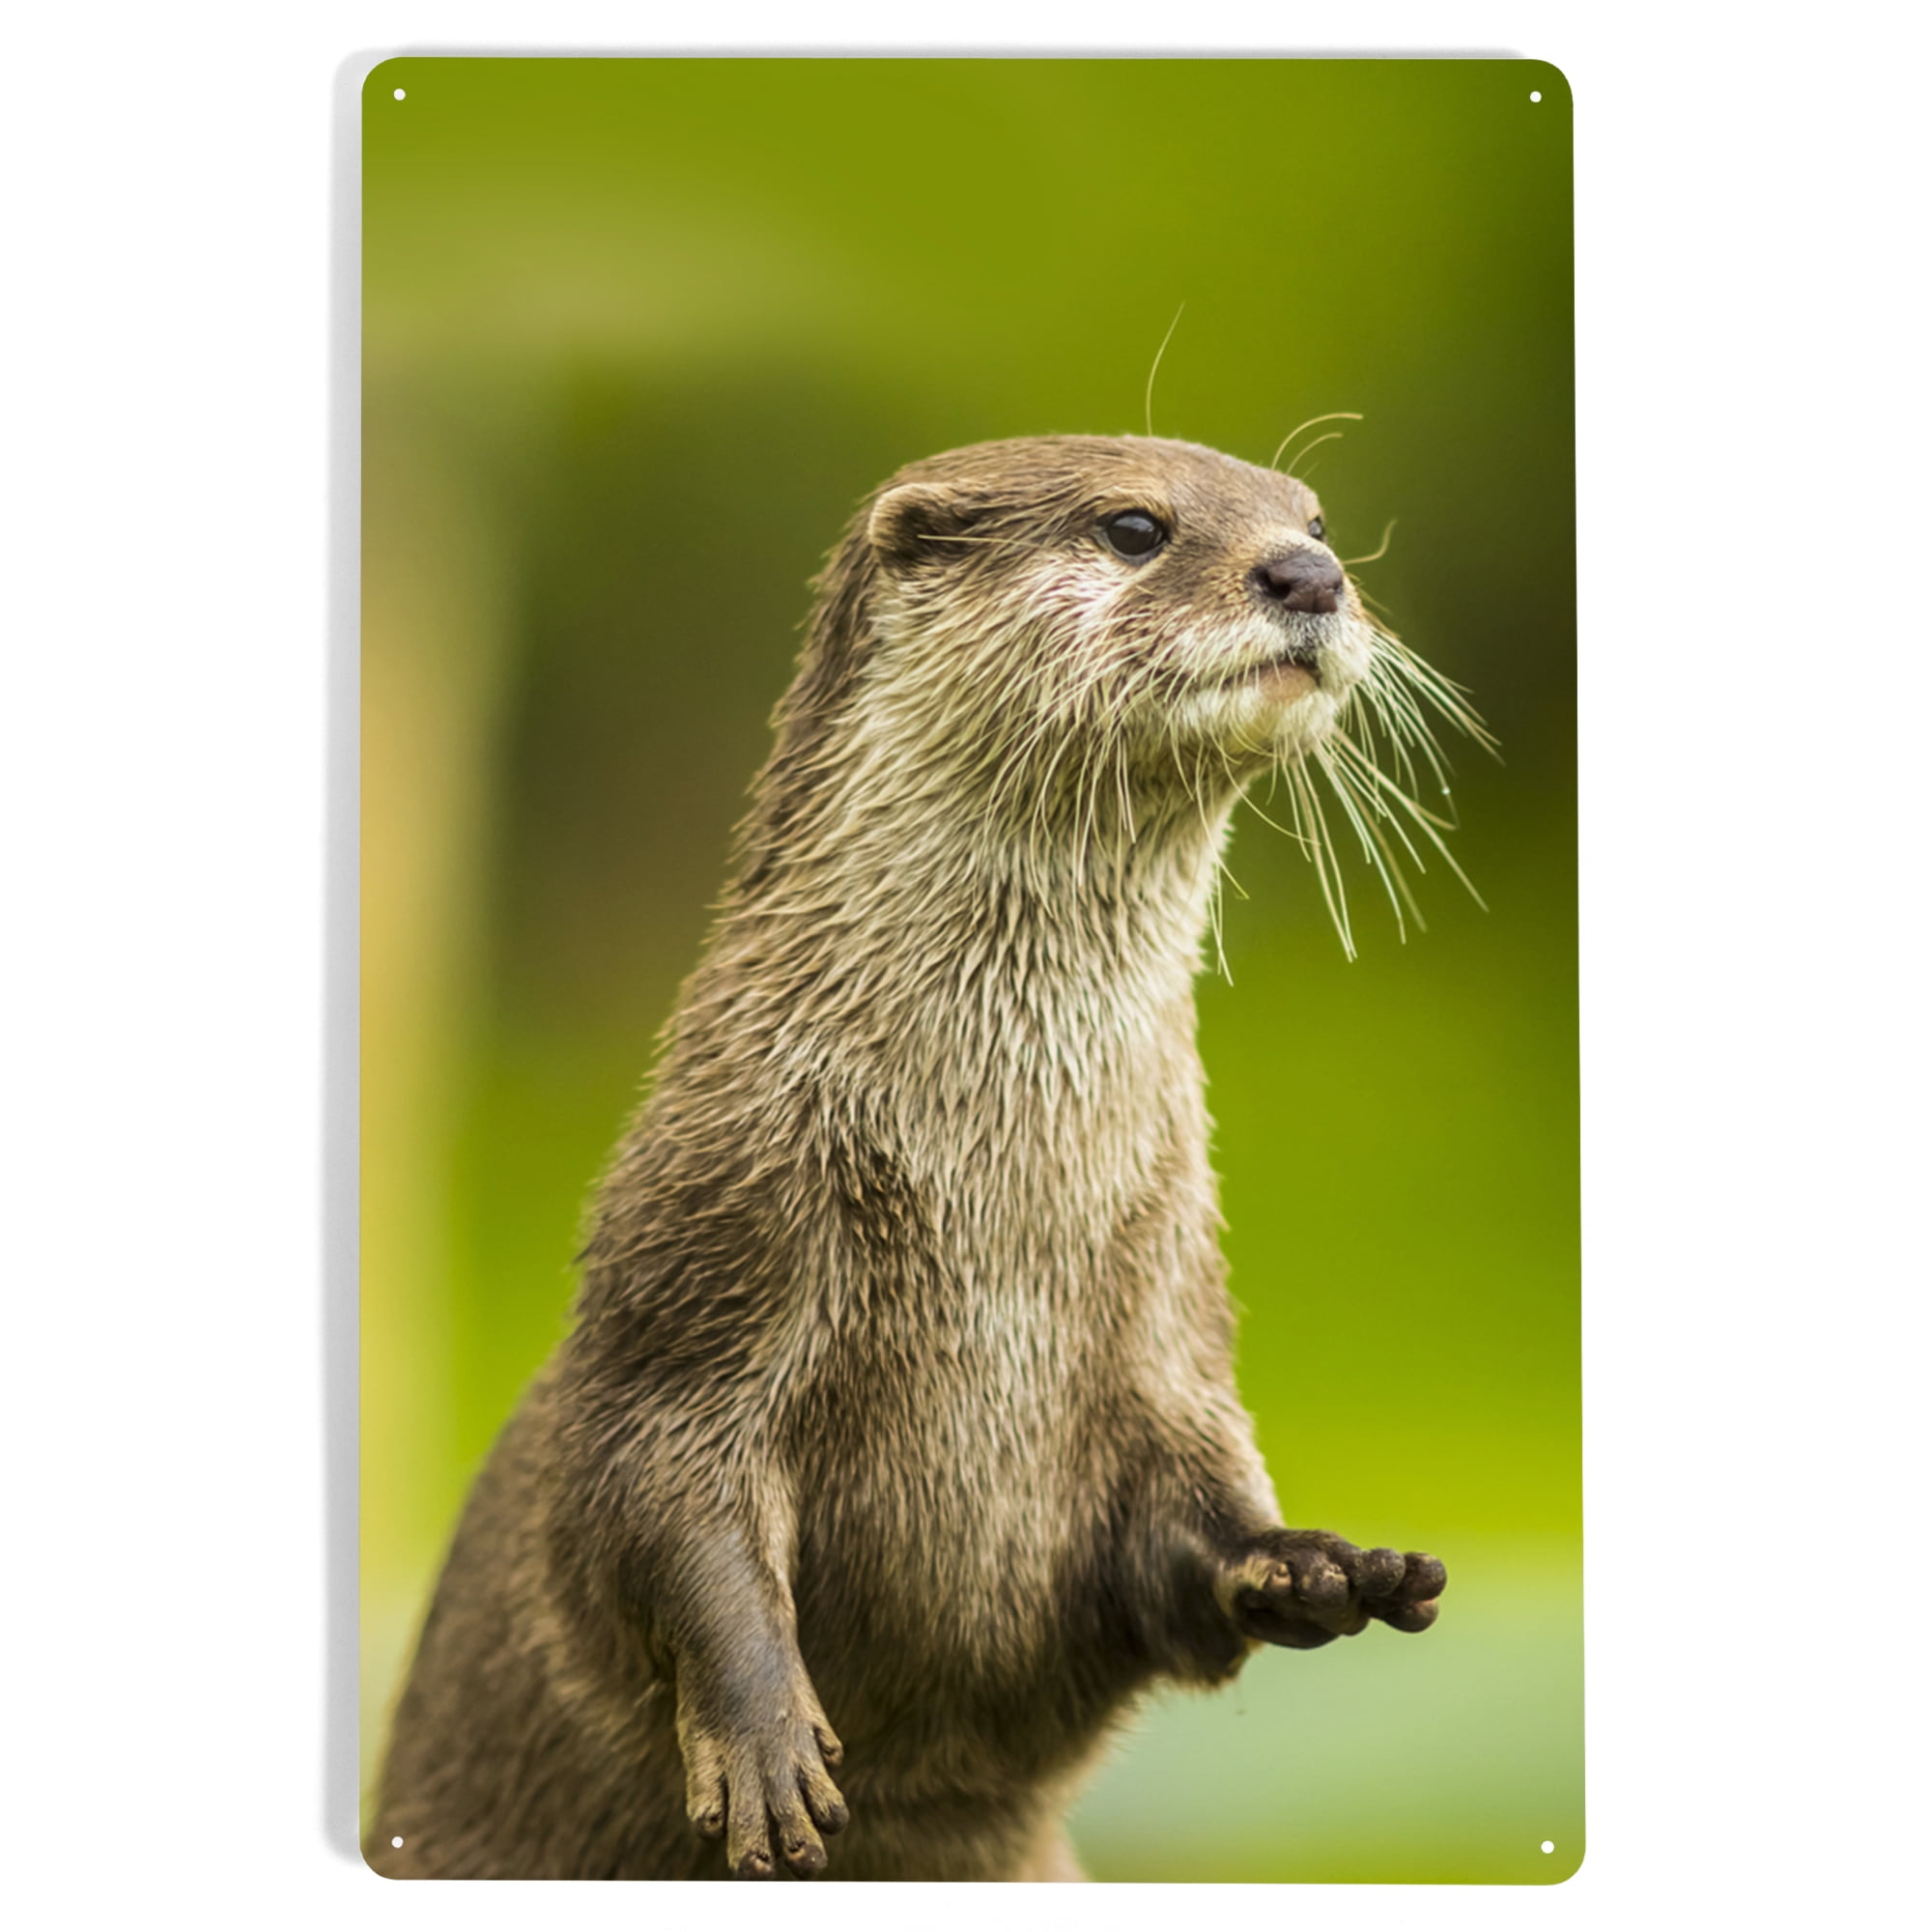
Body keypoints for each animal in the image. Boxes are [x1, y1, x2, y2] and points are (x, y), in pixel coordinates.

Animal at [365, 434, 1469, 1882]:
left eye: (1318, 519)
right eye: (1134, 527)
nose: (1308, 574)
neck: (998, 1197)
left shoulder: (1170, 1297)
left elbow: (1185, 1547)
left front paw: (1308, 1563)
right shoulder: (706, 1247)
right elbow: (659, 1491)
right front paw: (764, 1740)